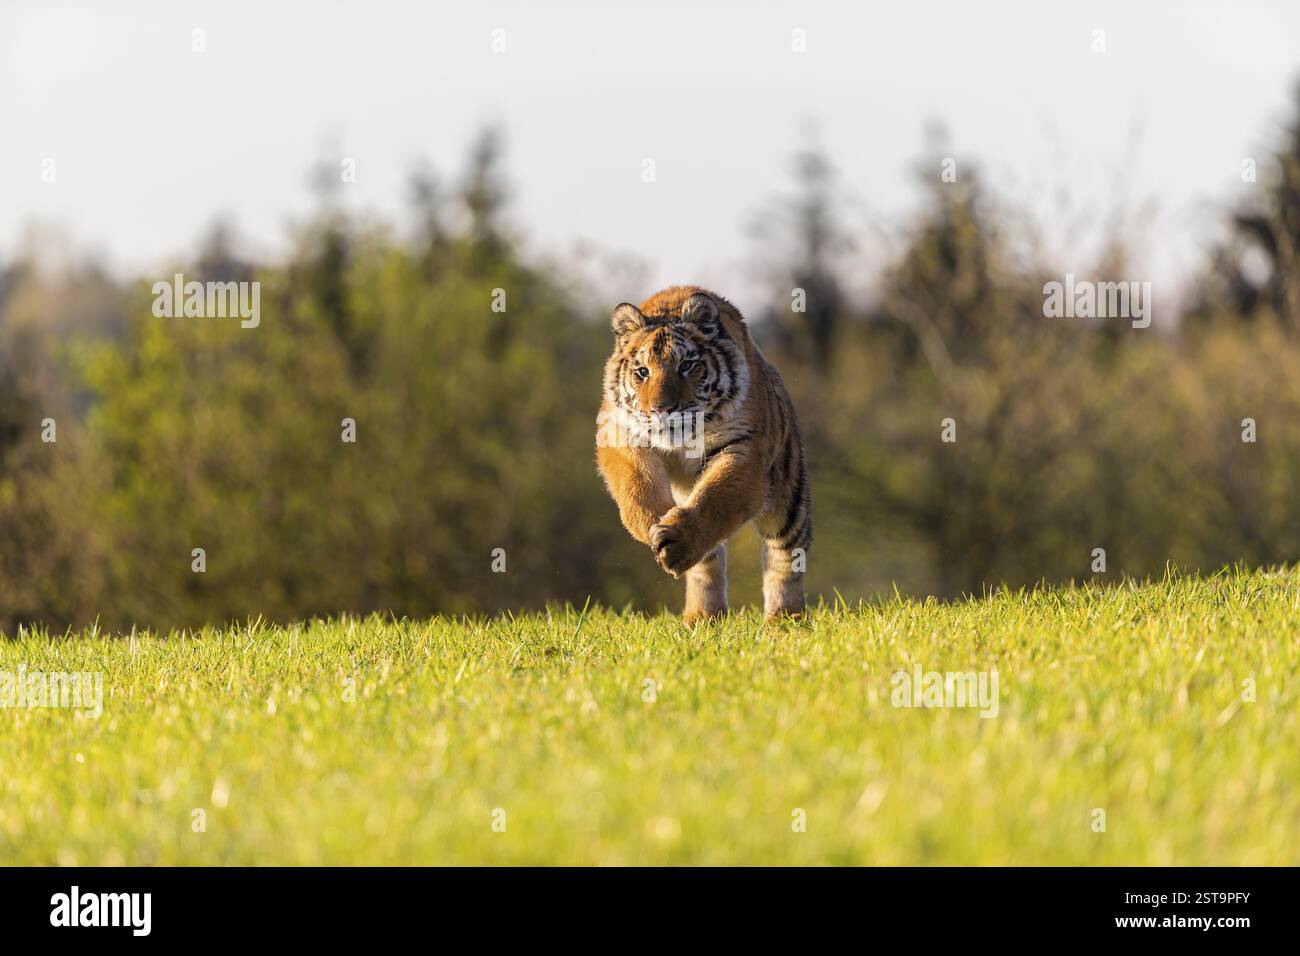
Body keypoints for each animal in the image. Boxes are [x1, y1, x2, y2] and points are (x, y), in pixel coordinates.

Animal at [595, 285, 811, 624]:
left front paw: (675, 540)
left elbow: (715, 498)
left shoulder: (744, 449)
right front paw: (653, 525)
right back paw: (701, 618)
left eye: (687, 366)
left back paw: (784, 620)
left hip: (789, 497)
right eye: (642, 372)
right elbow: (636, 486)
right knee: (708, 562)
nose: (661, 410)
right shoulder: (618, 432)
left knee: (786, 555)